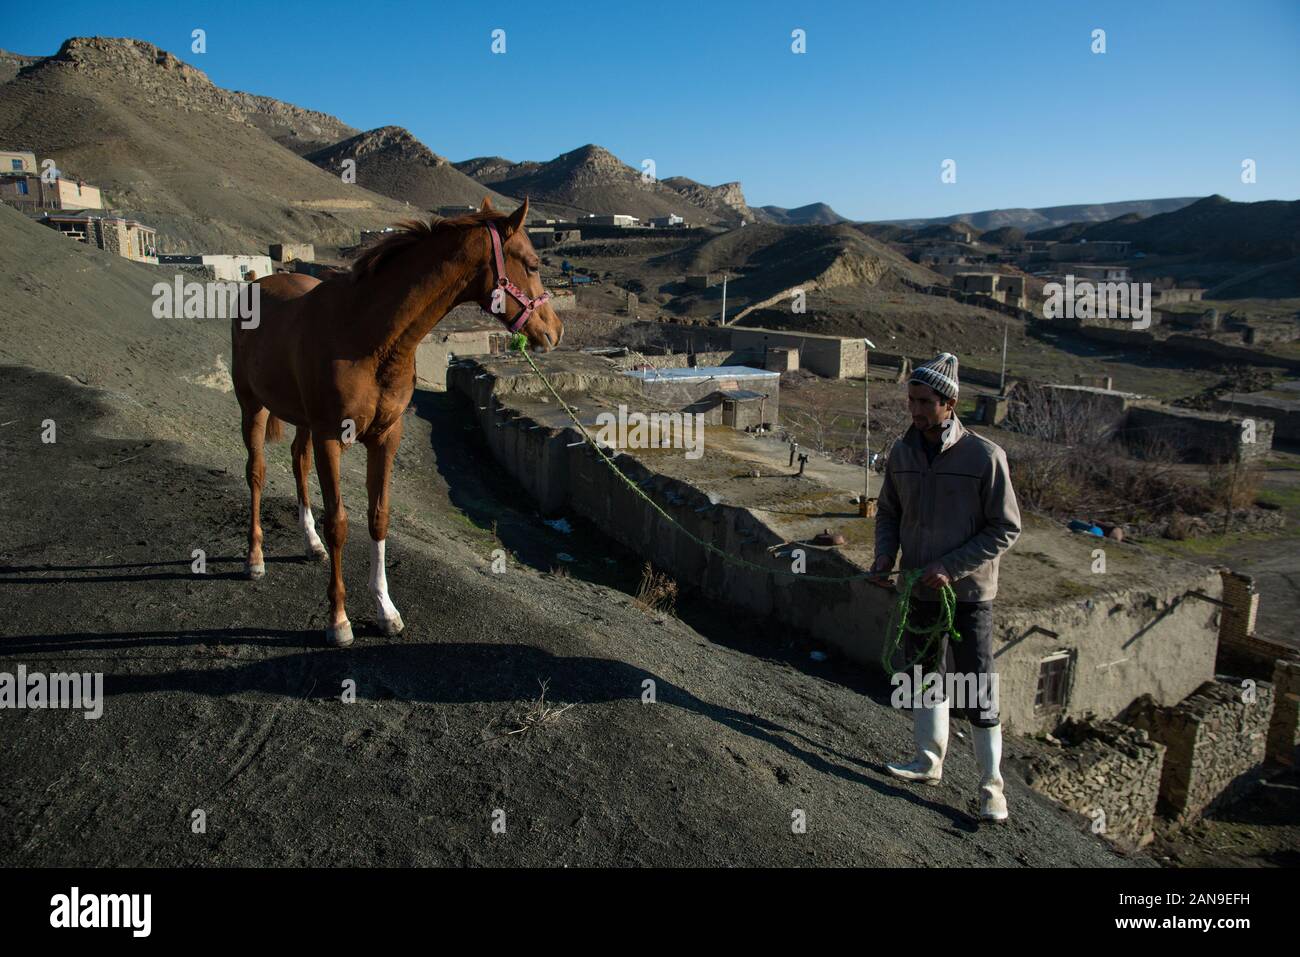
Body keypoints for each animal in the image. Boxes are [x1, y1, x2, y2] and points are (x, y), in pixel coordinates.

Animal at [231, 197, 562, 647]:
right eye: (531, 263)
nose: (555, 330)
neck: (369, 338)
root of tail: (254, 281)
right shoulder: (331, 437)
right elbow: (340, 522)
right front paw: (339, 619)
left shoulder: (386, 436)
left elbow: (379, 517)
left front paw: (386, 610)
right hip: (253, 406)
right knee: (257, 472)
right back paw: (255, 558)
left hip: (302, 420)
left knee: (298, 461)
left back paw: (310, 542)